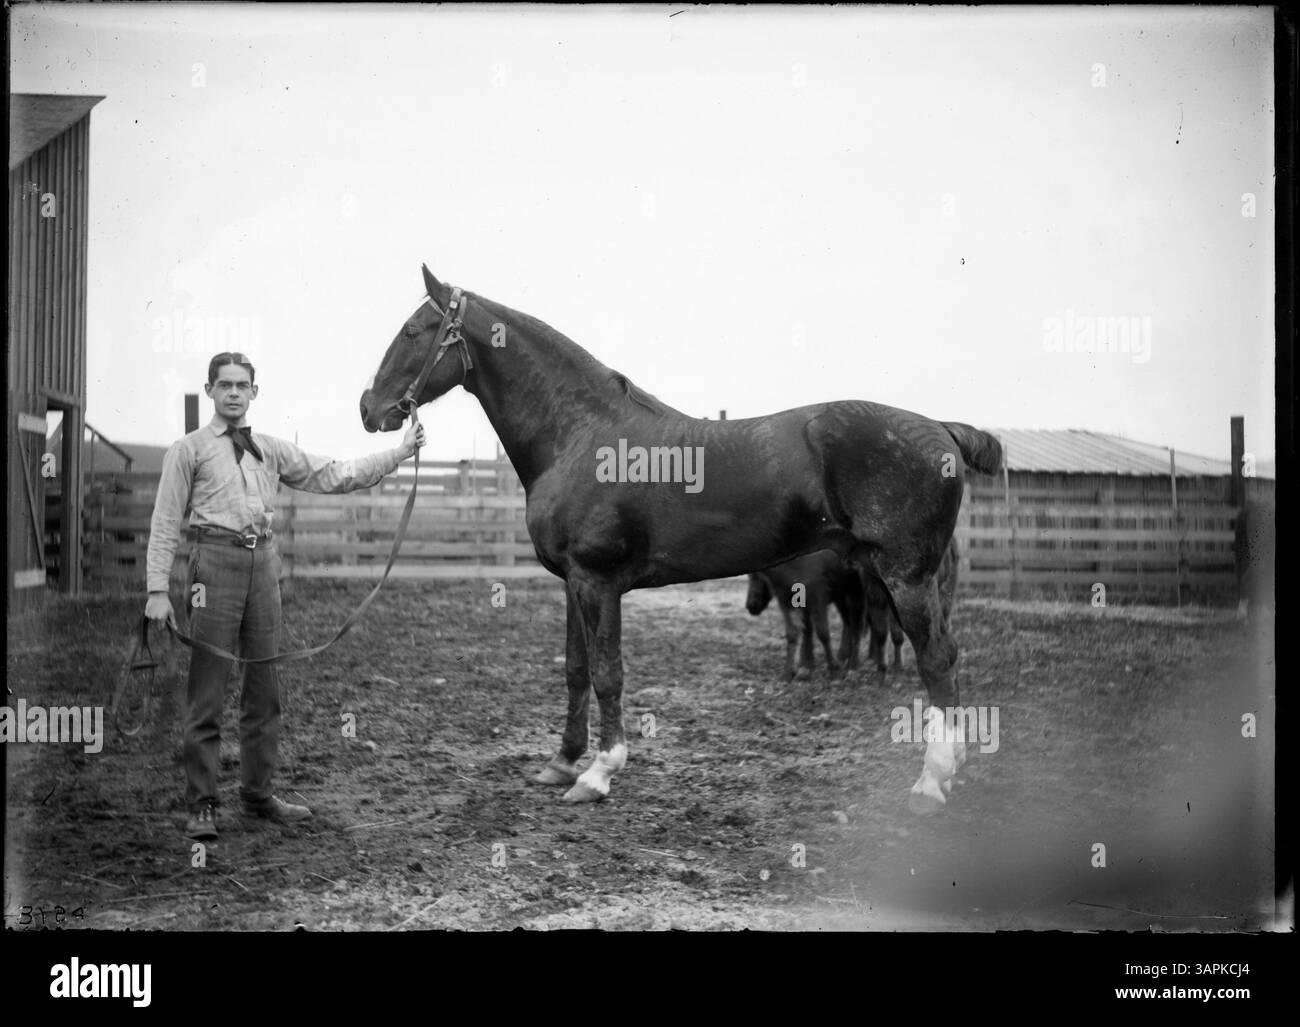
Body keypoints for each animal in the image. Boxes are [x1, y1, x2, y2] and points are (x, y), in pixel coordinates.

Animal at [744, 550, 866, 681]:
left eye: (757, 577)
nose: (751, 606)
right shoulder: (787, 604)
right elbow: (794, 633)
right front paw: (792, 671)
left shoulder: (818, 600)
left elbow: (823, 634)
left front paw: (833, 670)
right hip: (841, 597)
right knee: (848, 624)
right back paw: (843, 659)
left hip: (855, 595)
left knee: (856, 628)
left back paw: (852, 668)